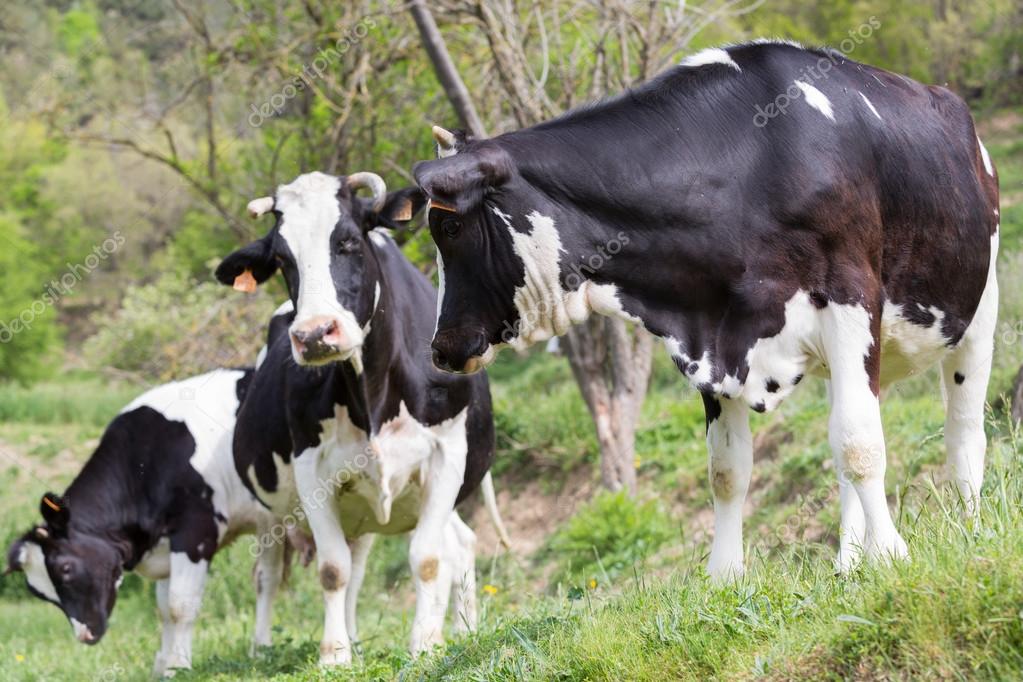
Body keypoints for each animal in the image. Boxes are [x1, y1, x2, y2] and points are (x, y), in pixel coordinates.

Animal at [4, 369, 298, 676]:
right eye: (38, 592)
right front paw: (164, 668)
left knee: (268, 580)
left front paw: (179, 667)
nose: (85, 635)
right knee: (266, 577)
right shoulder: (165, 546)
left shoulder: (195, 533)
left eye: (65, 568)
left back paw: (262, 649)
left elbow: (180, 605)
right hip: (270, 521)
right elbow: (165, 610)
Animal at [214, 170, 507, 664]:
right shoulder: (312, 468)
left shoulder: (446, 454)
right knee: (271, 574)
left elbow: (427, 558)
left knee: (450, 546)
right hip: (272, 510)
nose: (314, 334)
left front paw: (426, 643)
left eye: (348, 240)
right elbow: (334, 569)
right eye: (282, 259)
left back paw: (457, 629)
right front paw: (334, 653)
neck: (373, 393)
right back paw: (264, 648)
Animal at [412, 40, 1000, 580]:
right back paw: (848, 559)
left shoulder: (851, 299)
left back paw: (970, 526)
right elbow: (728, 469)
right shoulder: (711, 340)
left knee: (963, 424)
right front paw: (725, 578)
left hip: (978, 308)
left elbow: (859, 443)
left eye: (451, 227)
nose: (440, 348)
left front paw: (891, 557)